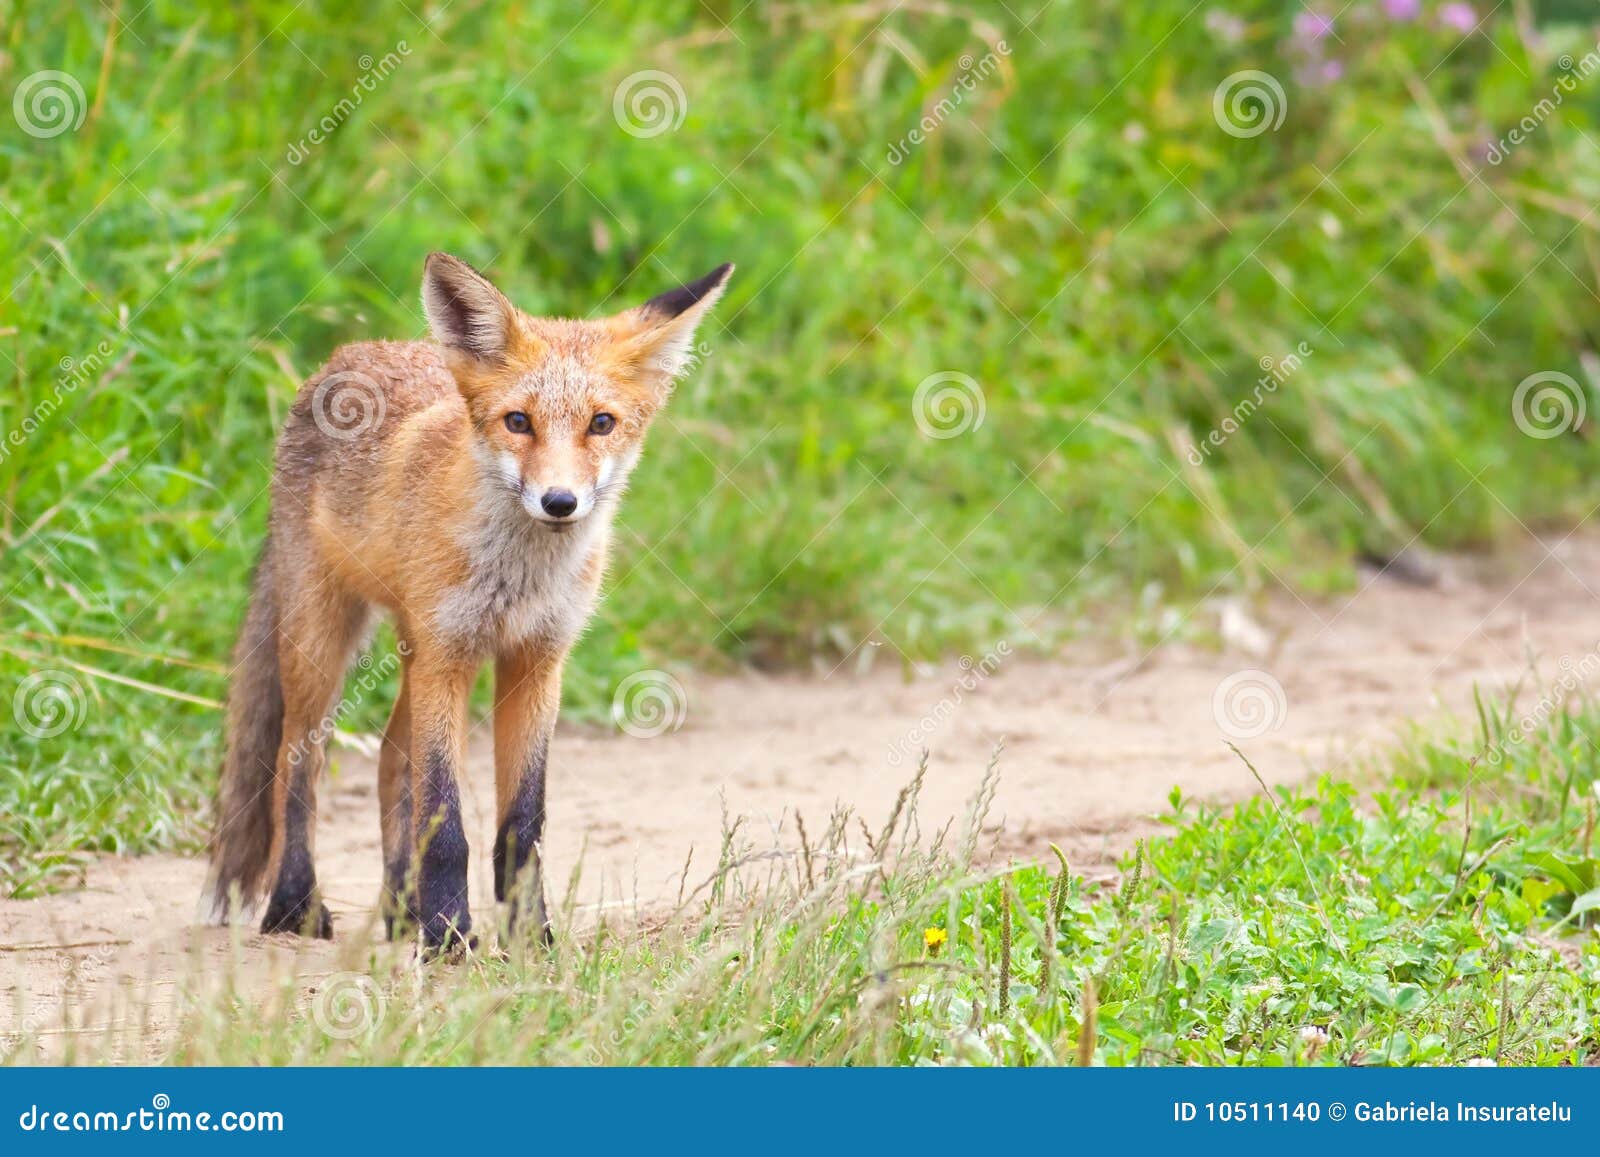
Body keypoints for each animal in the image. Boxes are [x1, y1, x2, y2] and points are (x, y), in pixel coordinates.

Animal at [203, 252, 733, 950]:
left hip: (408, 649)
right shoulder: (448, 656)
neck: (517, 579)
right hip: (324, 639)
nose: (559, 502)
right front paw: (448, 936)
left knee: (389, 763)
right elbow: (446, 820)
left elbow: (521, 824)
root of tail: (346, 355)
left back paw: (401, 911)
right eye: (518, 422)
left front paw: (529, 935)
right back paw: (296, 905)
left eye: (601, 423)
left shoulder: (537, 660)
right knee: (297, 767)